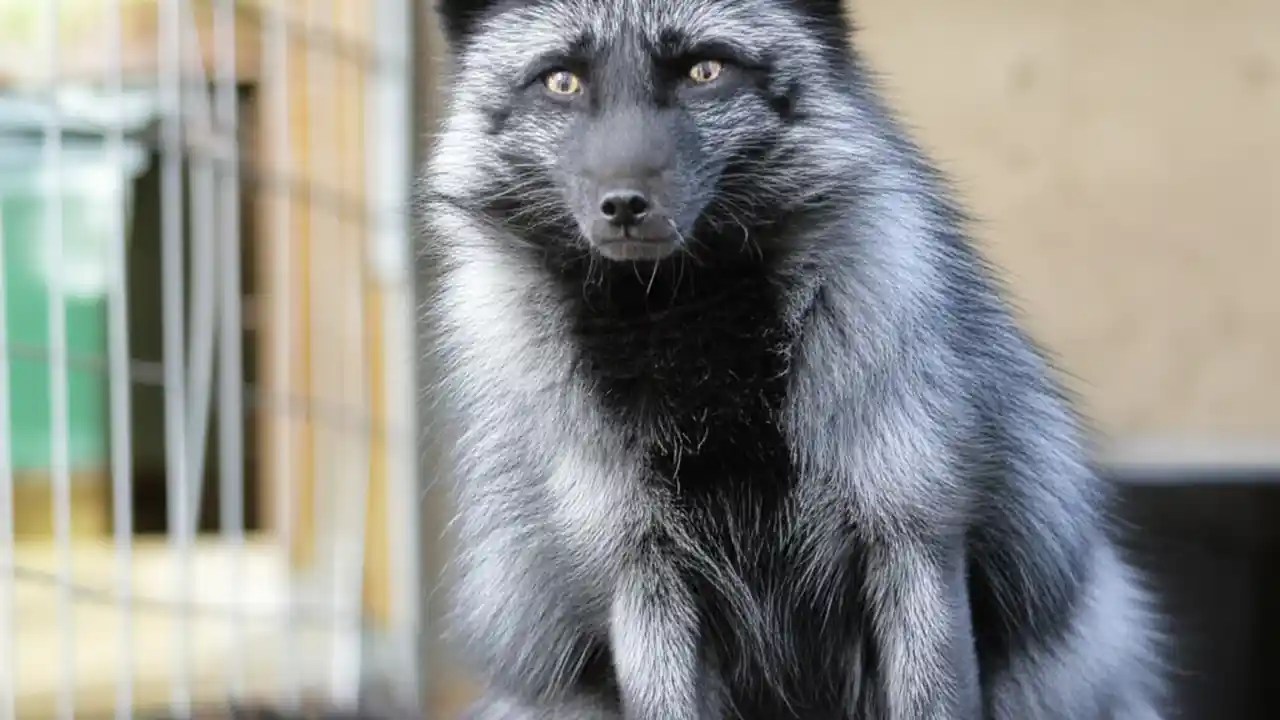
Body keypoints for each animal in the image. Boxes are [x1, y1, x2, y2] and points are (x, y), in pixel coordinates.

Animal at [418, 0, 1167, 718]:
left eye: (705, 70)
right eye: (562, 81)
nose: (624, 205)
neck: (699, 350)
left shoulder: (913, 528)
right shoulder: (637, 568)